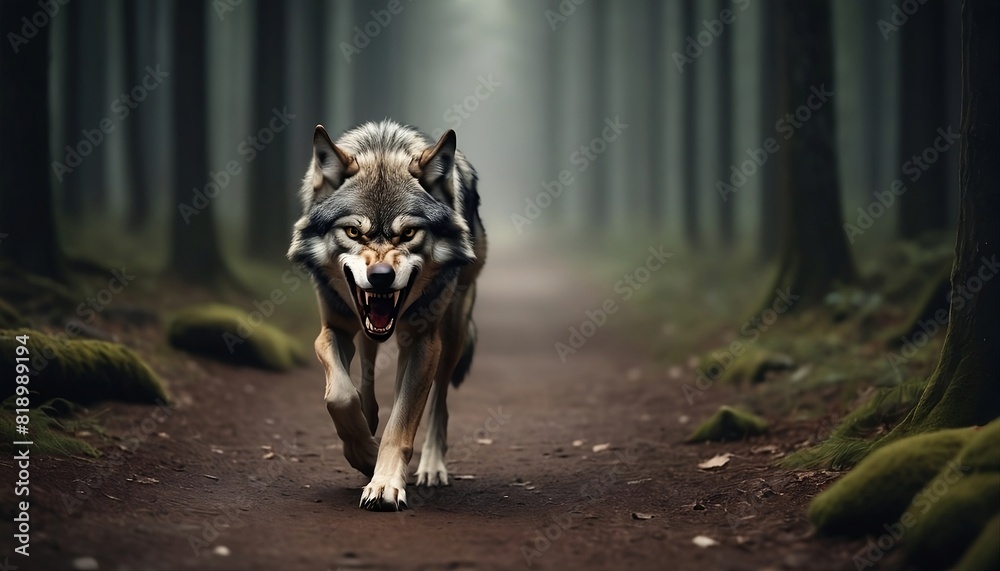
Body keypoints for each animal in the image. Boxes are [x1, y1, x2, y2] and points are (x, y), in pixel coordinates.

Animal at [287, 120, 487, 511]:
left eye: (408, 232)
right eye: (353, 231)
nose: (381, 276)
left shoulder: (425, 340)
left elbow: (403, 421)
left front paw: (383, 483)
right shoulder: (332, 328)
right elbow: (341, 396)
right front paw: (364, 453)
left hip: (450, 333)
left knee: (437, 401)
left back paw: (431, 466)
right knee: (367, 367)